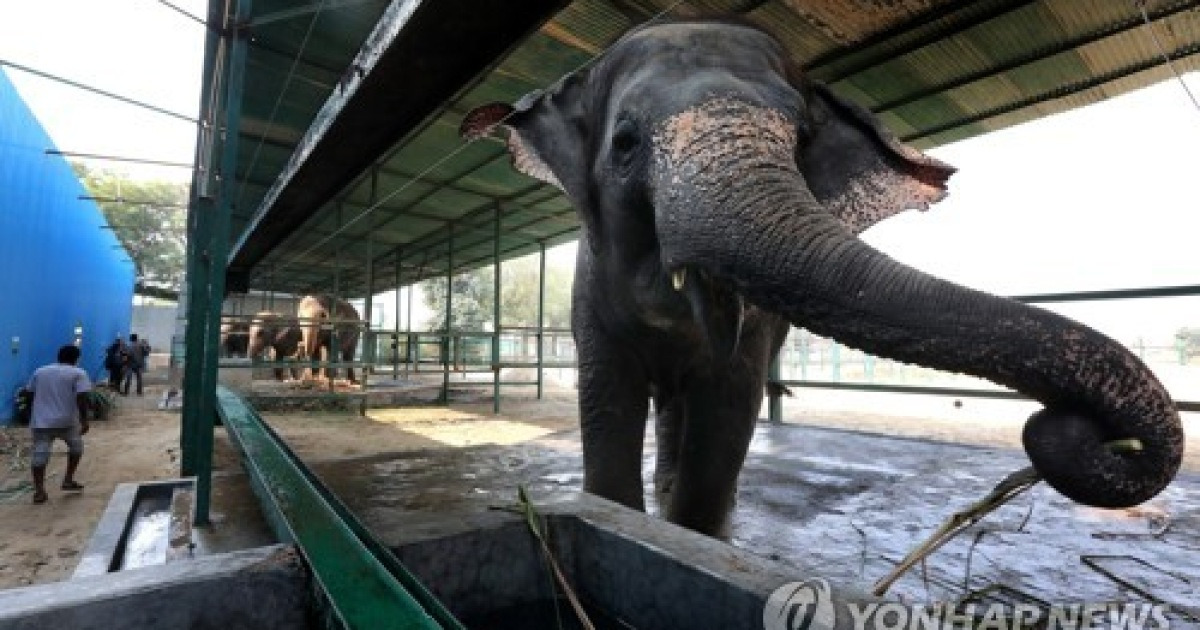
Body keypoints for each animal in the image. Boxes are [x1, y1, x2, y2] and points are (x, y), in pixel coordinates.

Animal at [461, 19, 1184, 538]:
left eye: (803, 136)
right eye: (626, 143)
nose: (1098, 435)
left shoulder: (755, 335)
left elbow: (730, 402)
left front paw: (694, 535)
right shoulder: (591, 293)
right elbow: (607, 398)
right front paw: (619, 518)